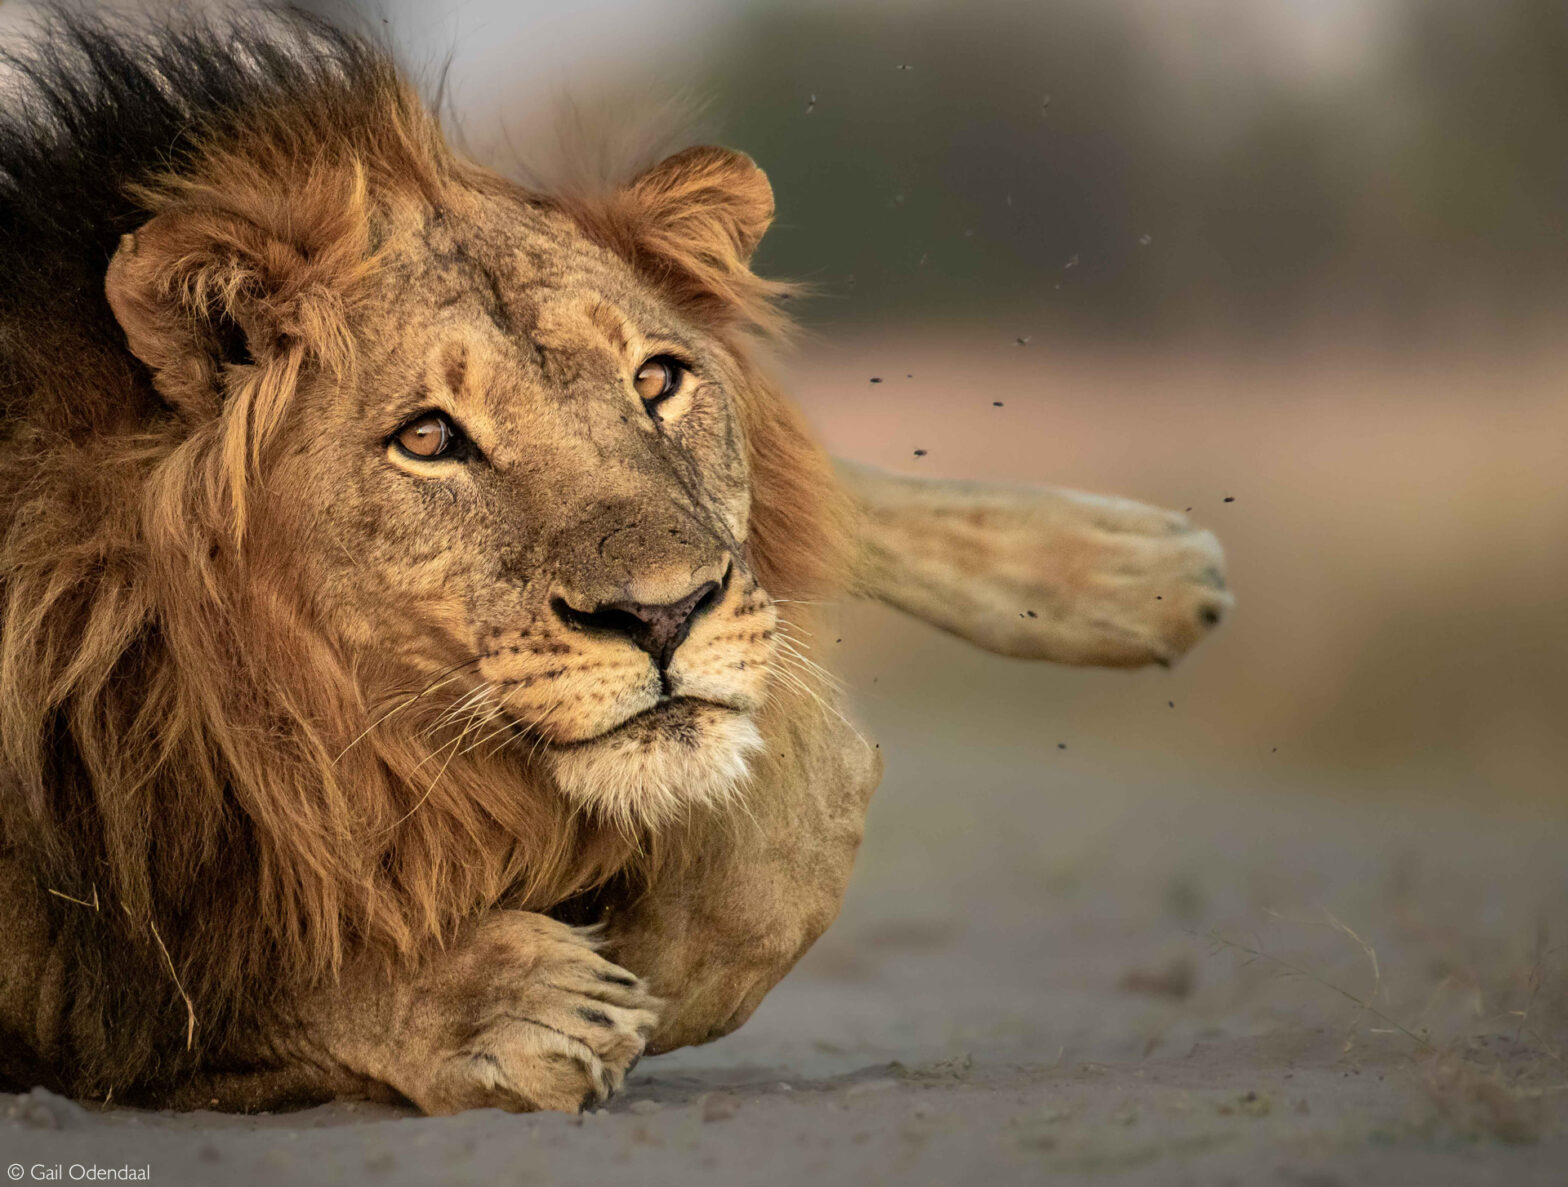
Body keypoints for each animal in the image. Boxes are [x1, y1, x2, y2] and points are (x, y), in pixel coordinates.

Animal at [0, 12, 1229, 1115]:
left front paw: (650, 948)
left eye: (656, 380)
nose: (666, 615)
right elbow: (227, 981)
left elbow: (793, 816)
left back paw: (1149, 568)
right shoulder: (103, 939)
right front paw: (511, 1002)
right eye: (428, 438)